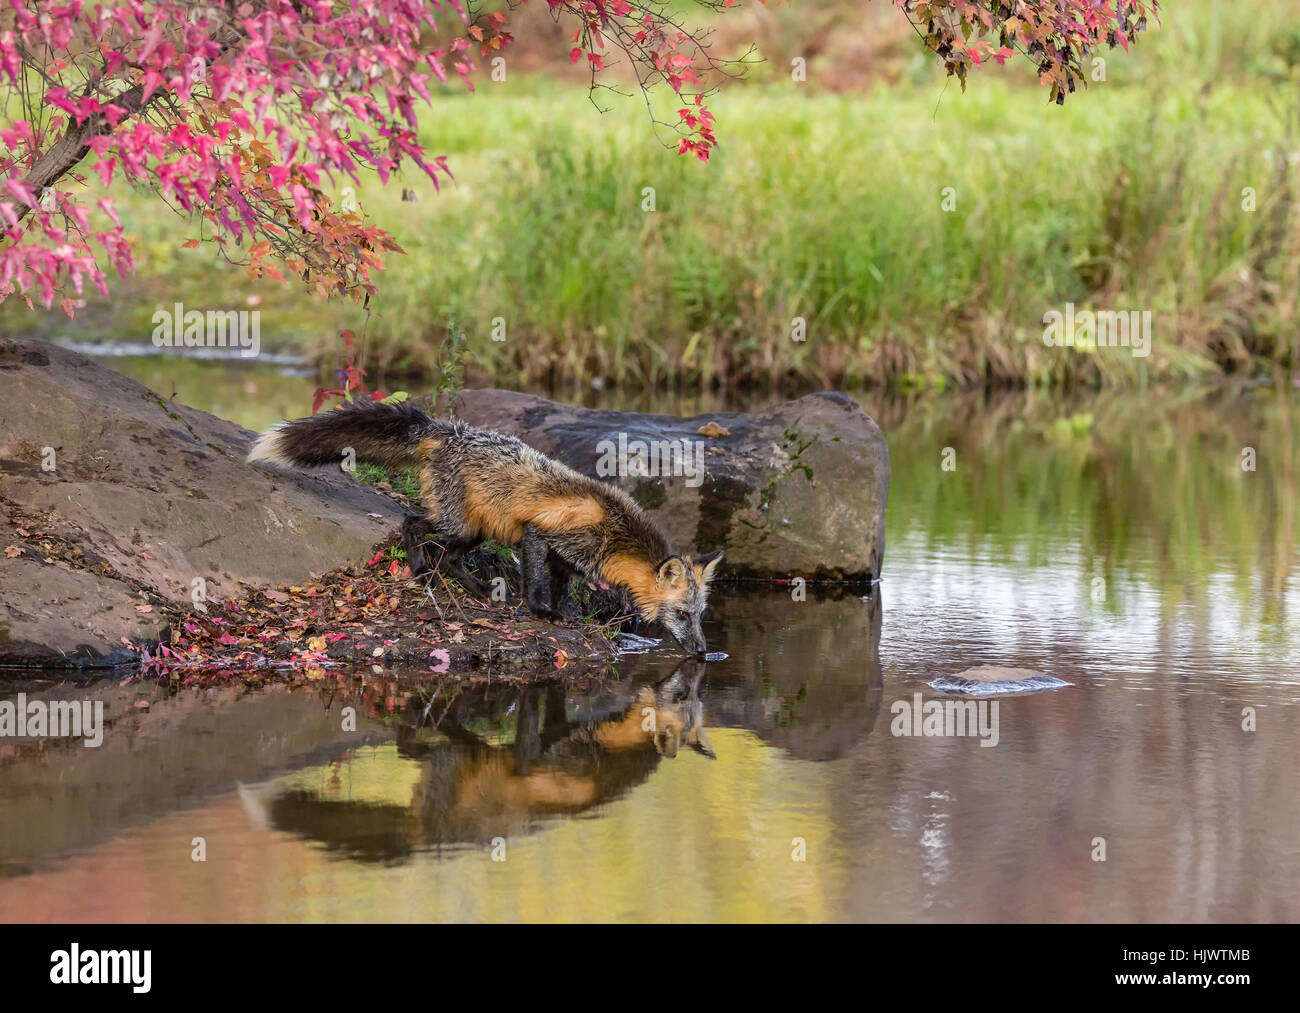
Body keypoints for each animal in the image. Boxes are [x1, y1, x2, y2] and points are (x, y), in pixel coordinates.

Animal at [246, 400, 723, 654]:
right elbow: (537, 581)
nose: (704, 652)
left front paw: (565, 612)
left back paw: (476, 589)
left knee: (452, 558)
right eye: (681, 615)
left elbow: (563, 585)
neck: (611, 527)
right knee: (413, 524)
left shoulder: (567, 557)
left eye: (700, 616)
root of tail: (447, 430)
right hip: (458, 524)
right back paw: (420, 569)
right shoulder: (539, 534)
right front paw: (541, 612)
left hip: (475, 530)